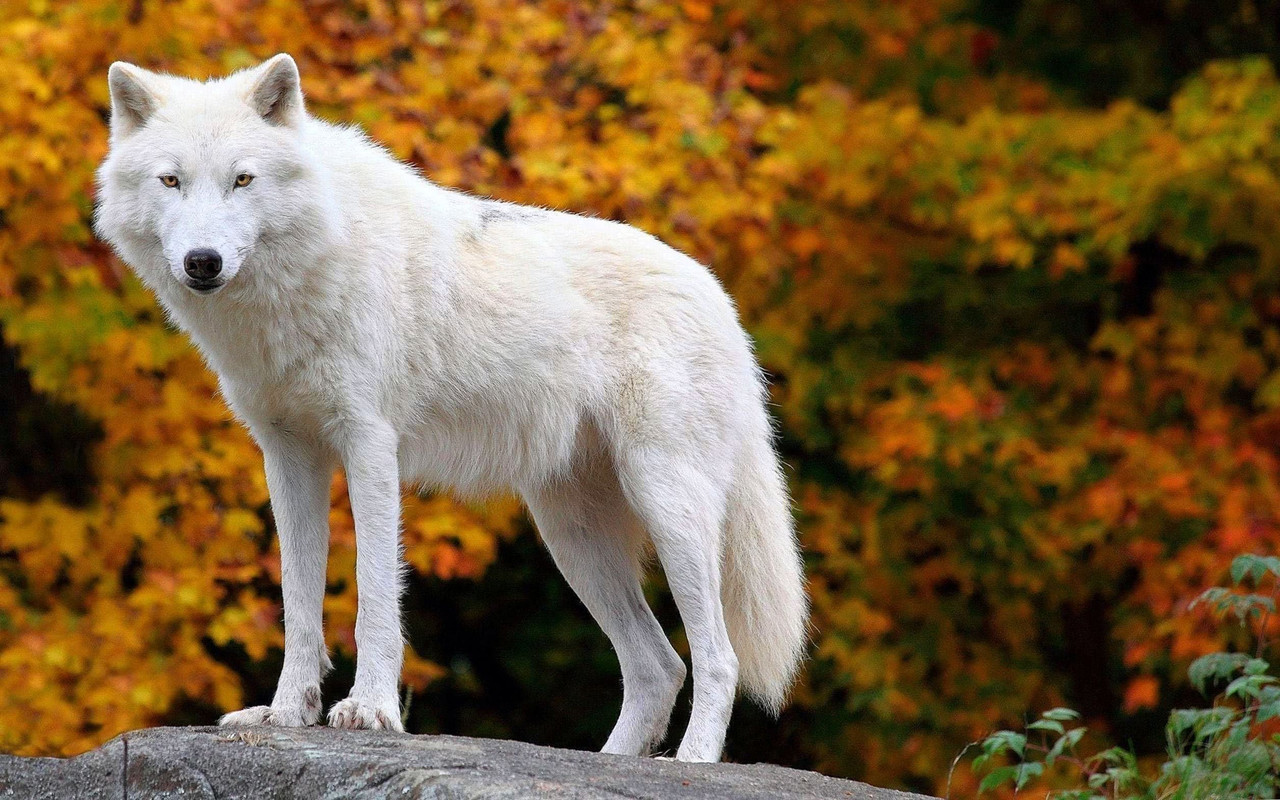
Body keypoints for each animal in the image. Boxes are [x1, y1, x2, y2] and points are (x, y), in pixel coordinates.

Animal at [93, 54, 807, 762]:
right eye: (171, 180)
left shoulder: (369, 445)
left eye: (242, 179)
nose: (203, 261)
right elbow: (298, 605)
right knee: (659, 667)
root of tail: (721, 299)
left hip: (667, 506)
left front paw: (370, 711)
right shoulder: (288, 456)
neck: (314, 262)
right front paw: (287, 713)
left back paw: (693, 764)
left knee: (716, 660)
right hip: (573, 537)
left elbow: (375, 597)